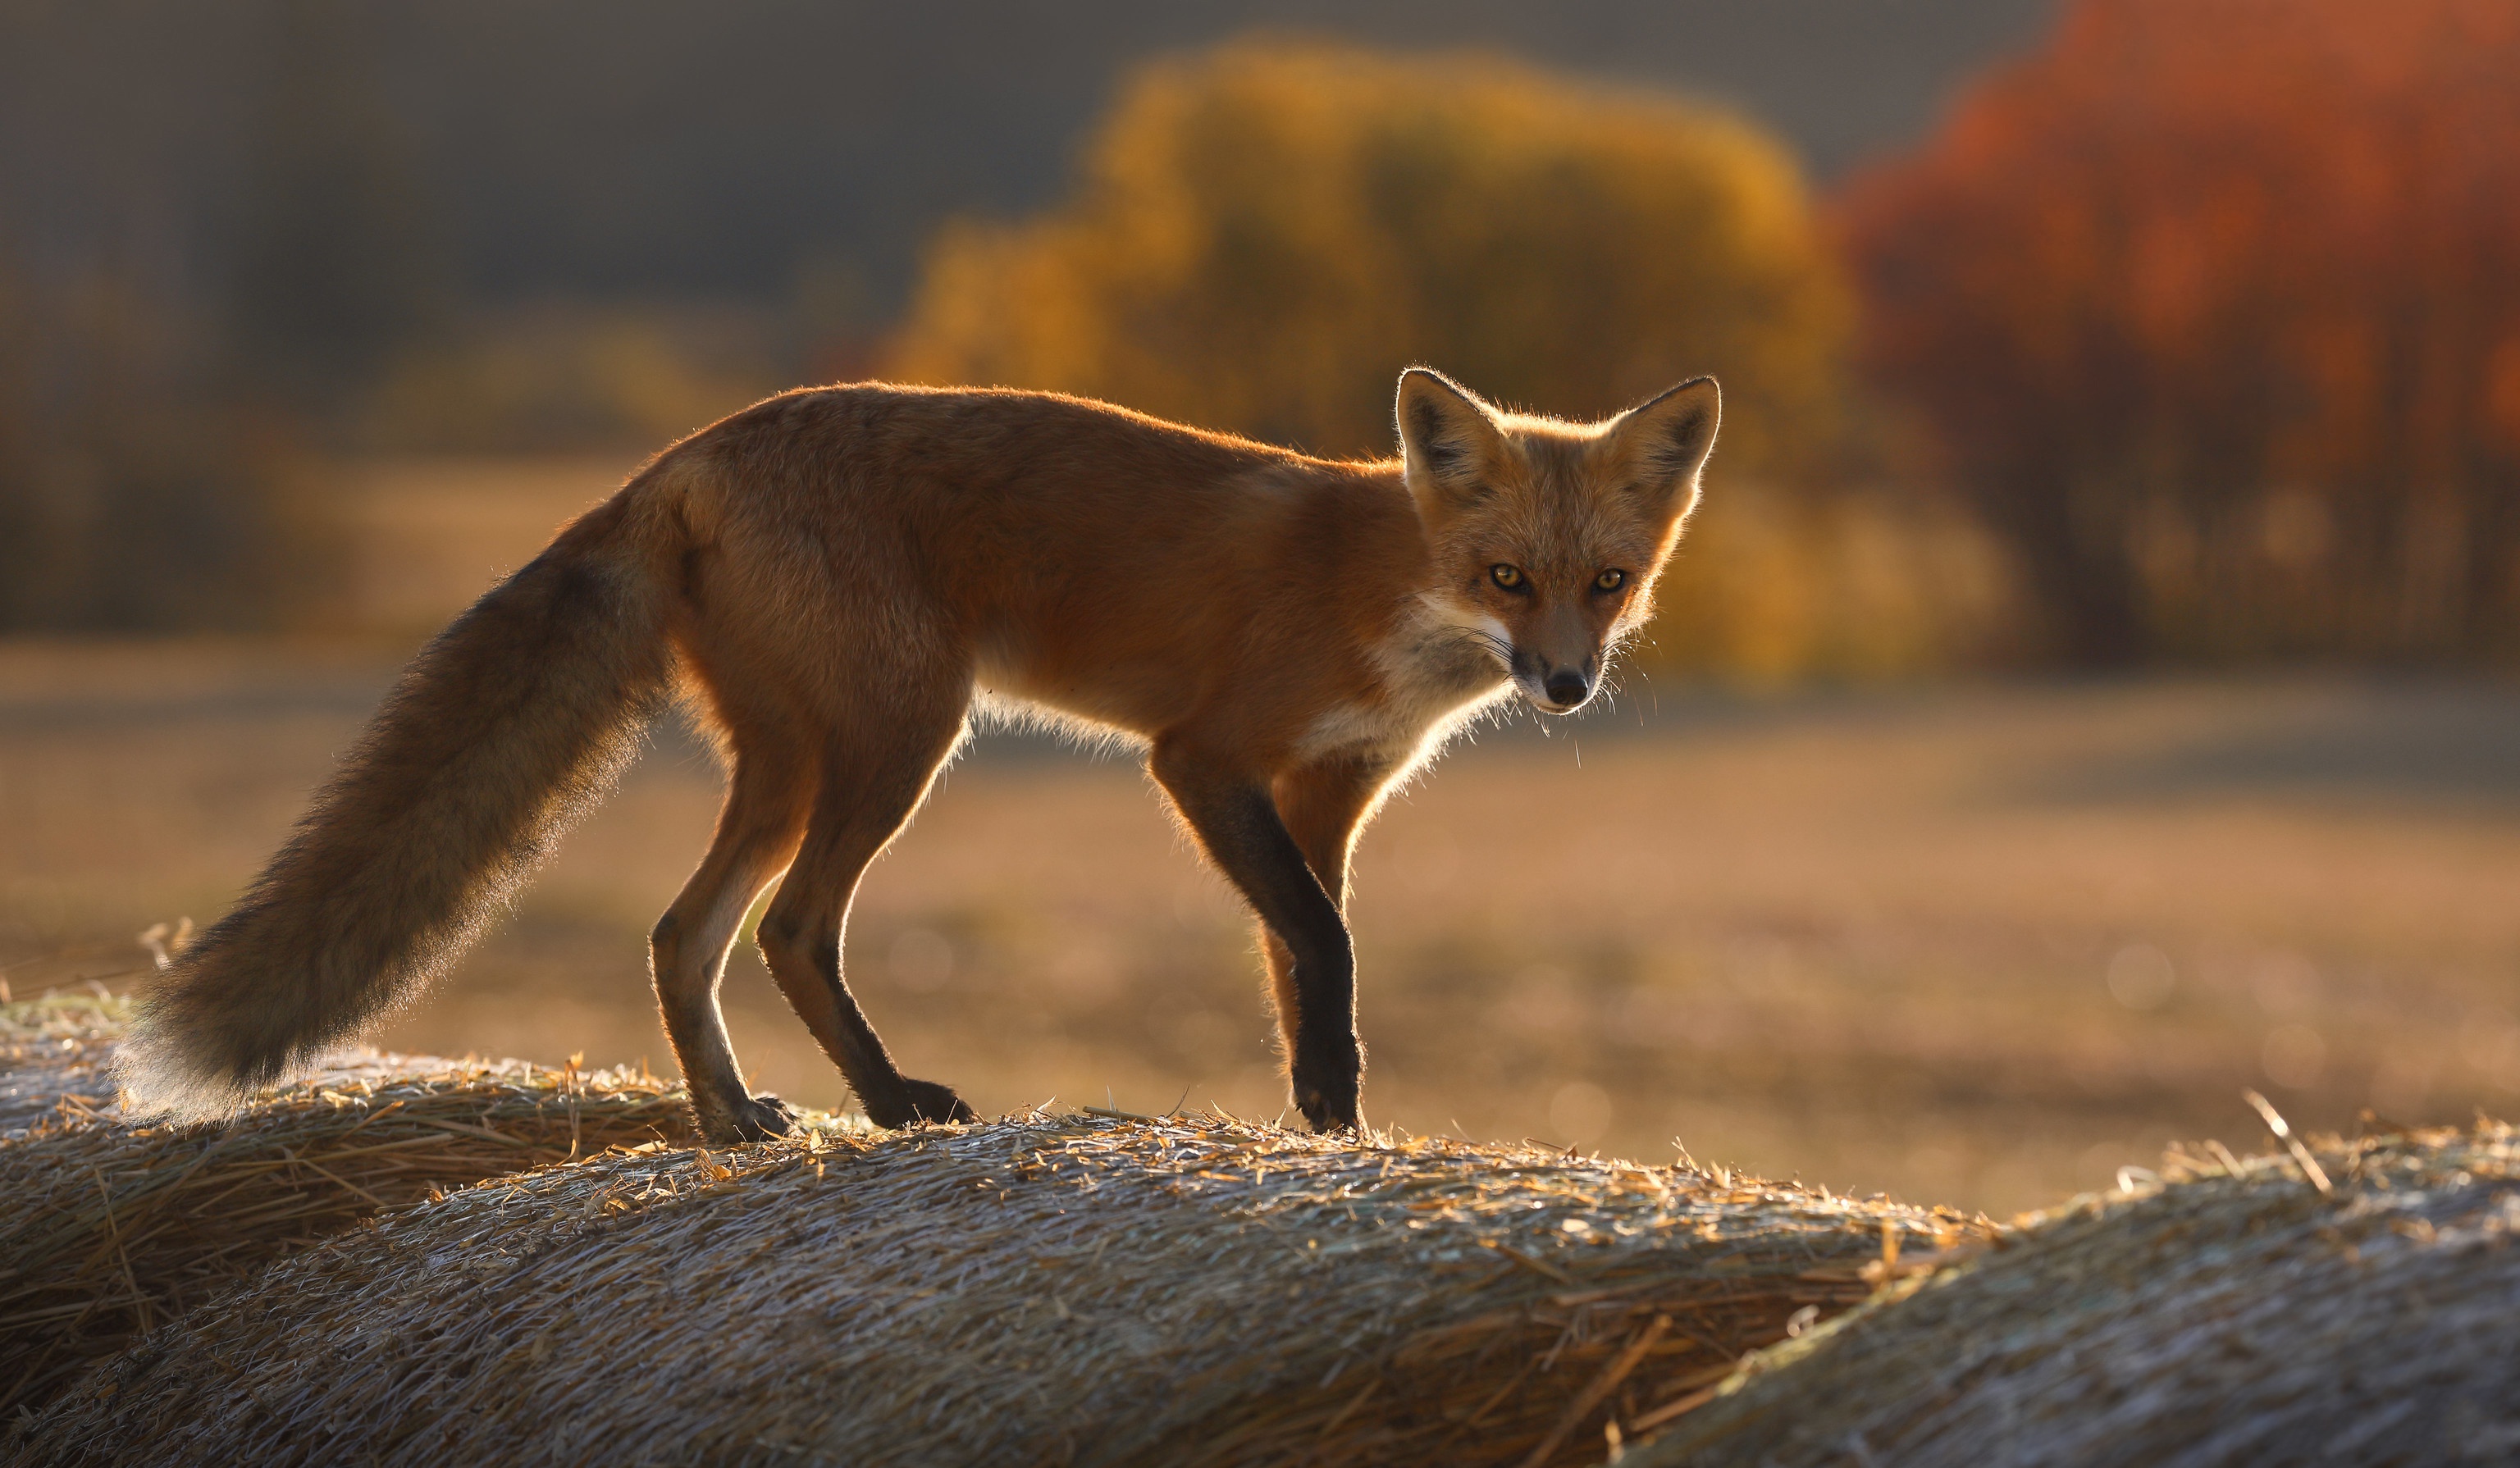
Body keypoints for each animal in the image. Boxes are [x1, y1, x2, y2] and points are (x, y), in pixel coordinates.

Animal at [116, 368, 1718, 1143]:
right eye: (1508, 578)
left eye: (1607, 583)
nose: (1566, 685)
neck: (1379, 586)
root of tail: (685, 453)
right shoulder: (1202, 759)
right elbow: (1320, 945)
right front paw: (1330, 1105)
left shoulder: (1326, 797)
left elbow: (1304, 959)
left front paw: (1329, 1113)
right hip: (900, 736)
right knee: (786, 930)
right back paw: (887, 1104)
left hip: (787, 760)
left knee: (682, 933)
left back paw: (733, 1121)